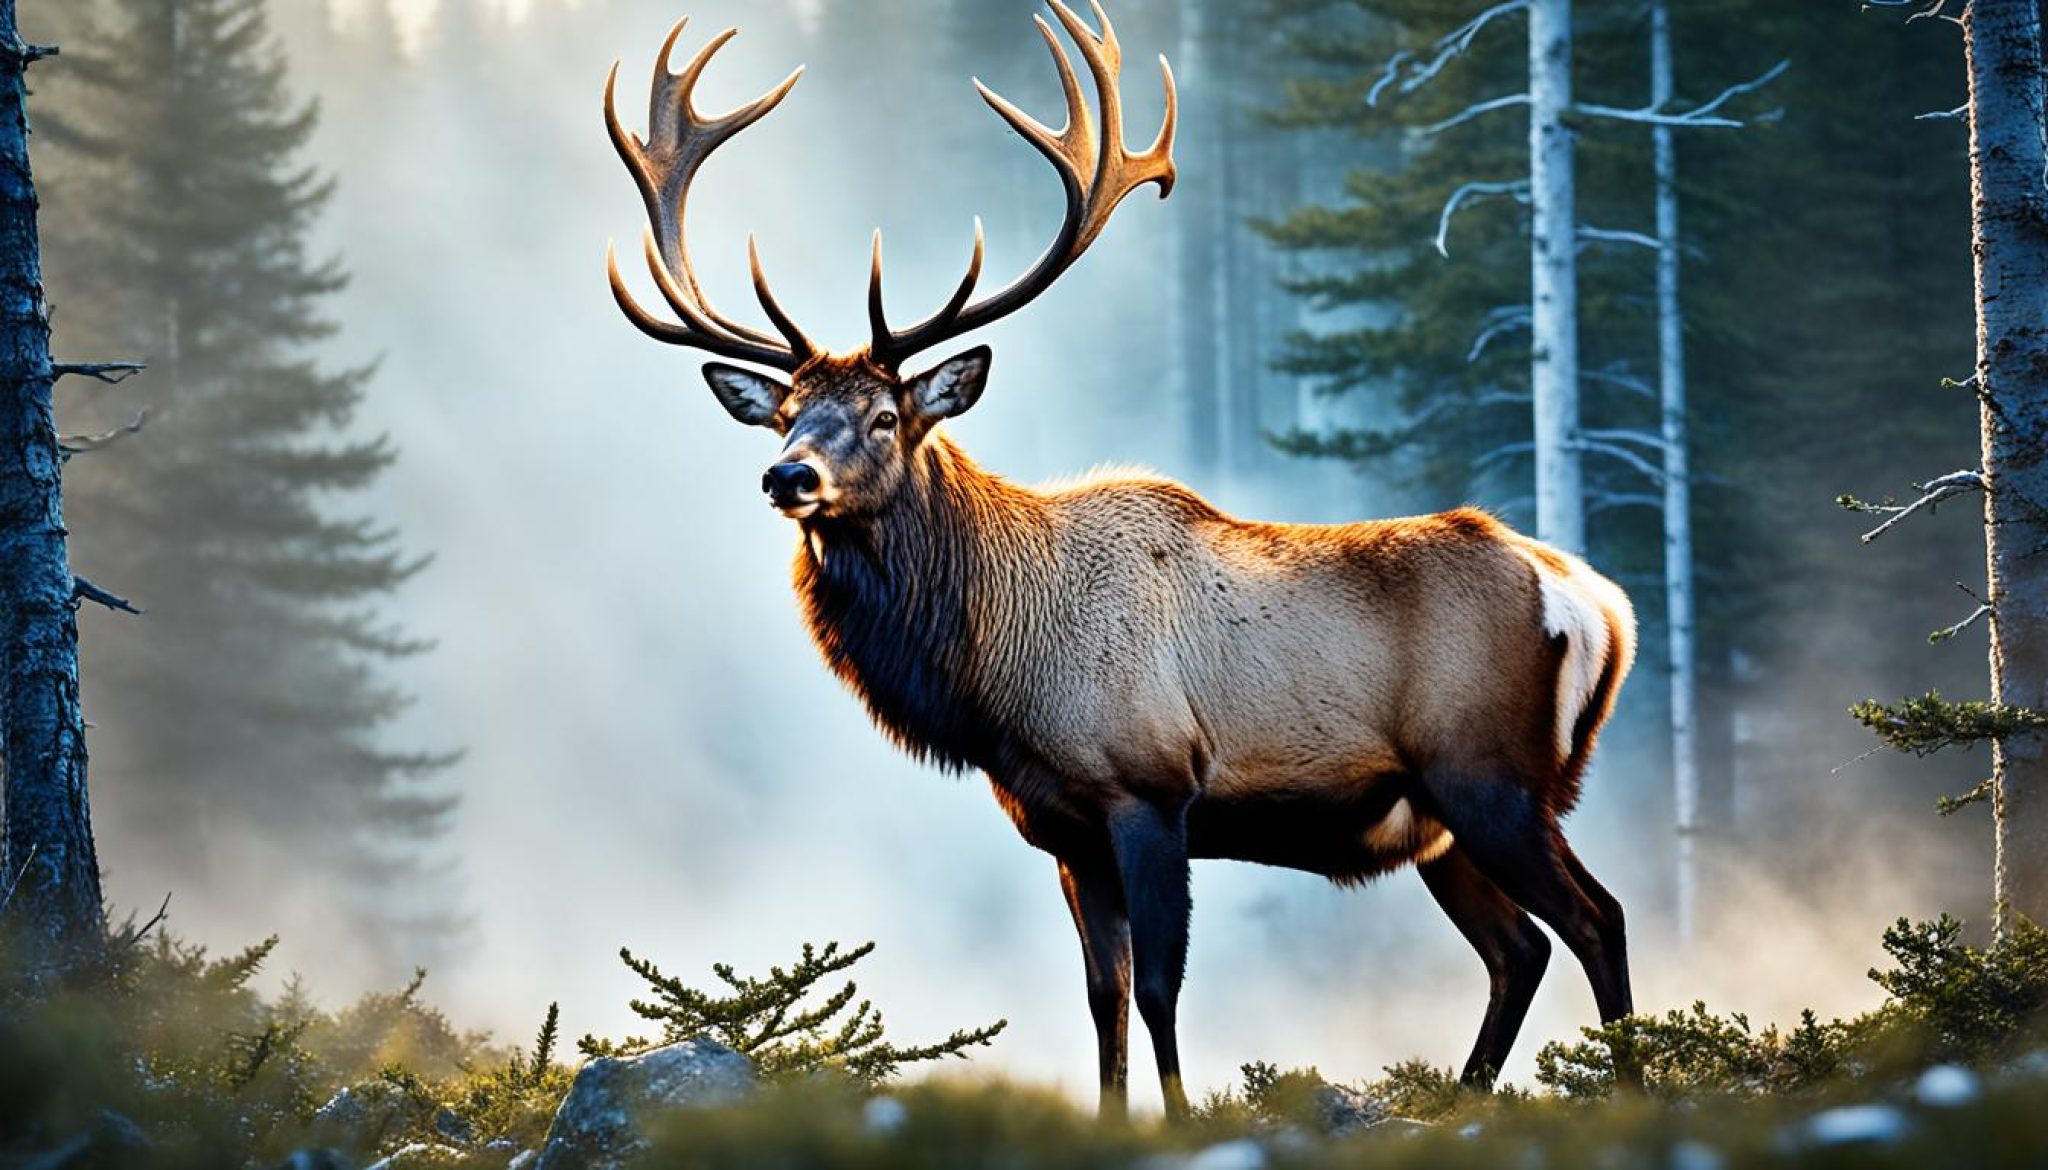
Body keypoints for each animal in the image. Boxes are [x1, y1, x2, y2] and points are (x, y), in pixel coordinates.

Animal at [602, 3, 1639, 1118]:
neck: (991, 676)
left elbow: (1158, 988)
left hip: (1490, 776)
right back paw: (1462, 1096)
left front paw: (1178, 1117)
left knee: (1595, 919)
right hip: (1442, 819)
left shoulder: (1150, 790)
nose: (786, 476)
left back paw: (1628, 1085)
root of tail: (1597, 604)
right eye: (786, 413)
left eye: (884, 416)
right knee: (1519, 950)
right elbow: (1101, 996)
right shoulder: (1065, 829)